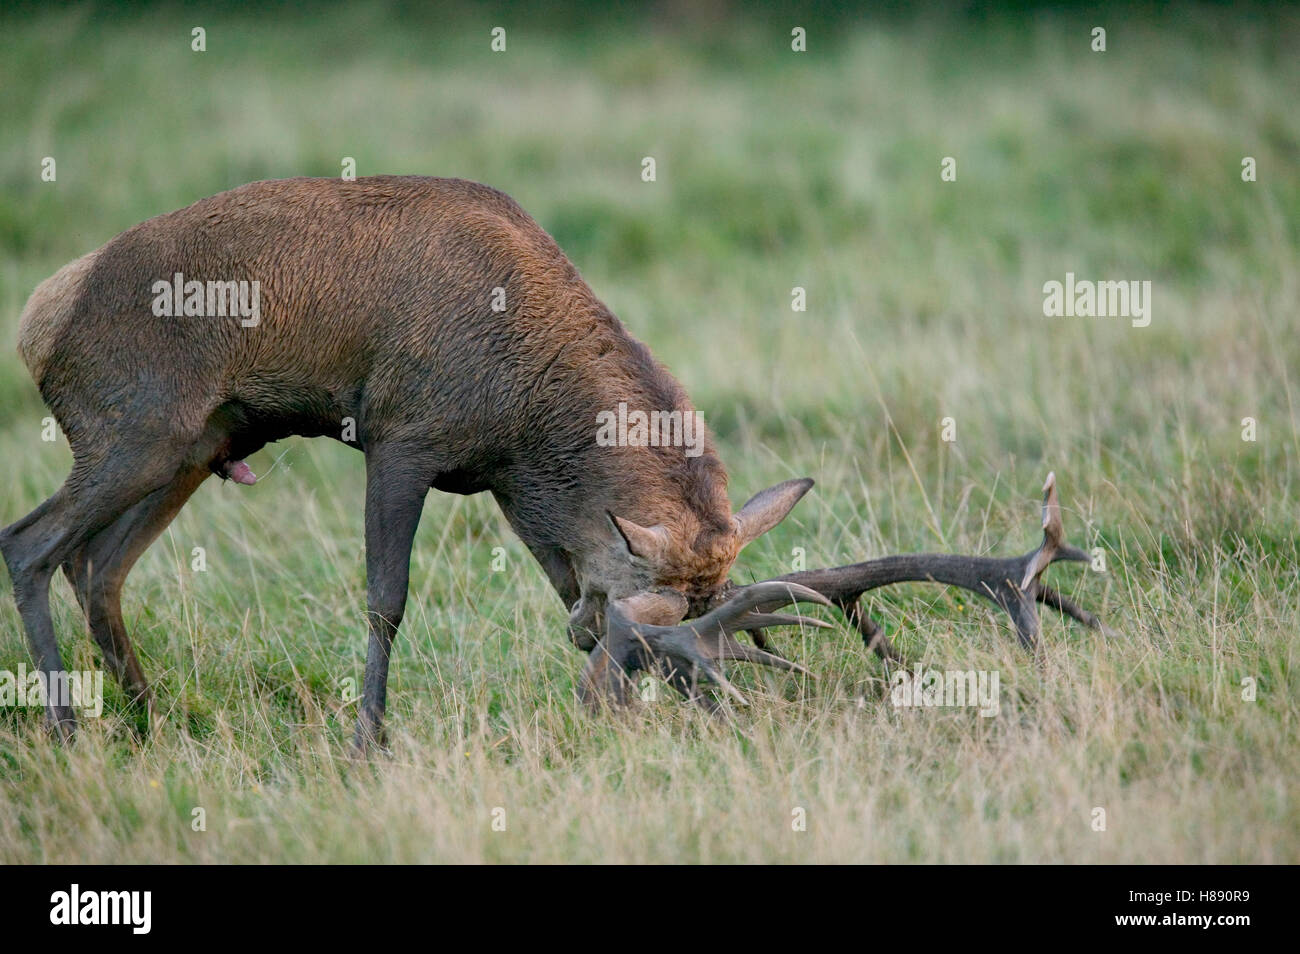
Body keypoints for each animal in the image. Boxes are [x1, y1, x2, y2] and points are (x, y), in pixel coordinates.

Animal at [0, 176, 1109, 748]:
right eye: (654, 632)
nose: (626, 708)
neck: (528, 404)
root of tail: (39, 318)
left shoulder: (513, 488)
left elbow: (556, 591)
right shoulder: (402, 435)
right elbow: (386, 597)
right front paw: (368, 739)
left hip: (202, 442)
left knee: (97, 566)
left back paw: (150, 718)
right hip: (134, 429)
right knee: (30, 542)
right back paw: (65, 728)